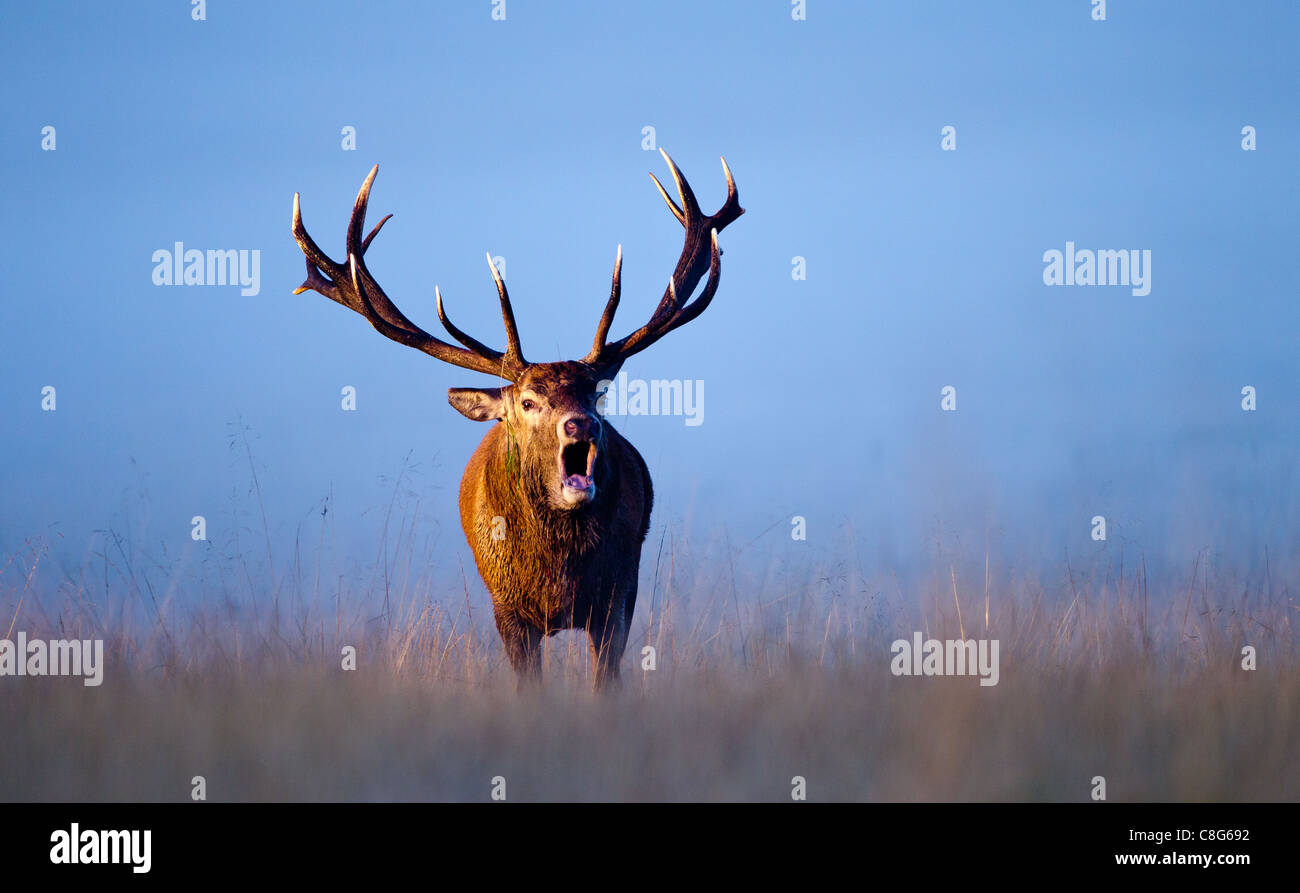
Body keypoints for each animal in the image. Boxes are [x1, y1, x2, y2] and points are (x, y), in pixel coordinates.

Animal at [290, 151, 743, 689]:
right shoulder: (506, 608)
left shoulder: (617, 598)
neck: (558, 576)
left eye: (597, 393)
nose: (581, 424)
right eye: (527, 402)